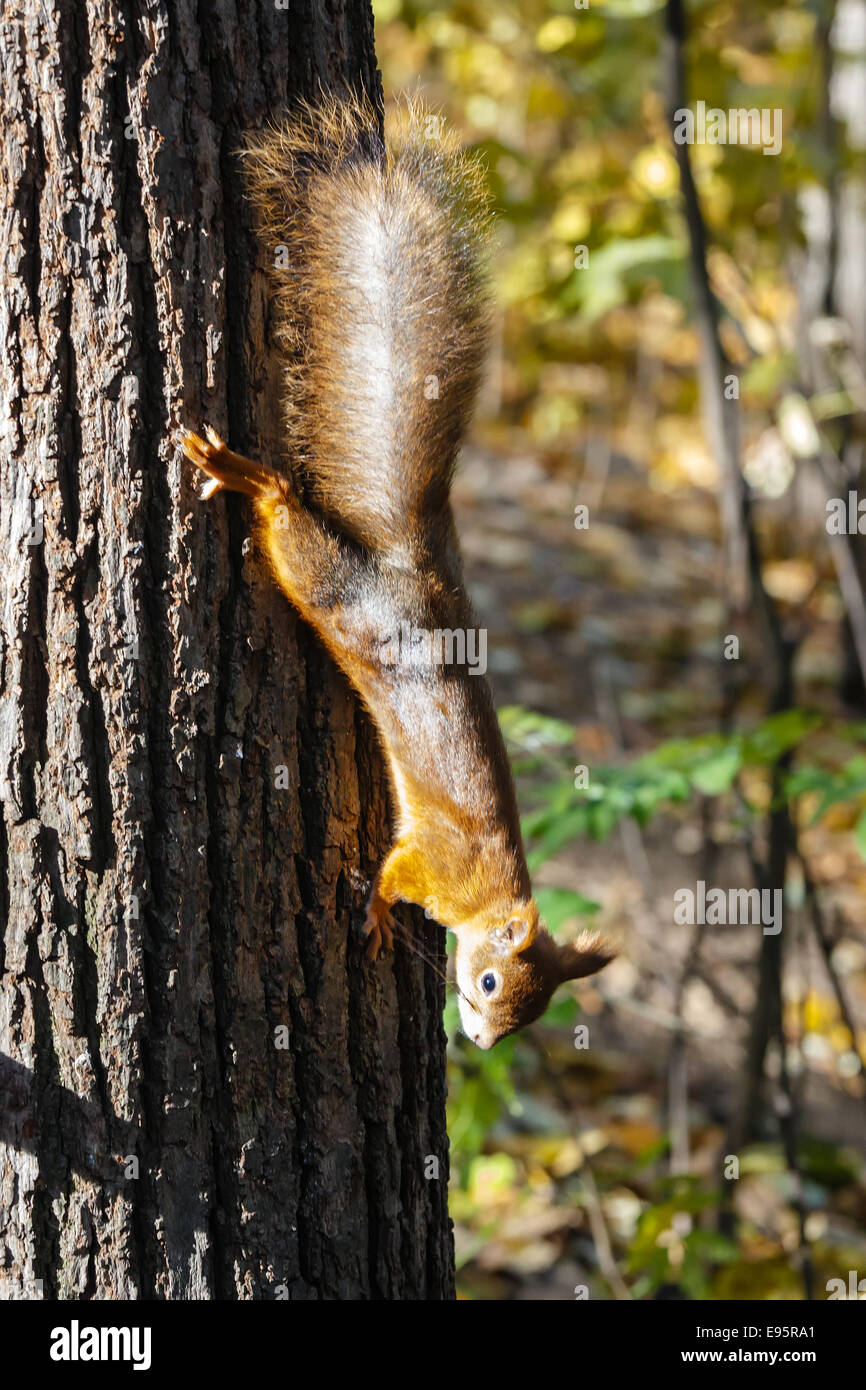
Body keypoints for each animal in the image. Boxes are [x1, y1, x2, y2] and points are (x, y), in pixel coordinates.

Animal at [179, 94, 614, 1048]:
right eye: (488, 982)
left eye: (530, 1016)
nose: (483, 1041)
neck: (494, 893)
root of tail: (418, 573)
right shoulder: (431, 864)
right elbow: (389, 873)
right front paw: (378, 919)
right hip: (337, 596)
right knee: (292, 532)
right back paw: (250, 480)